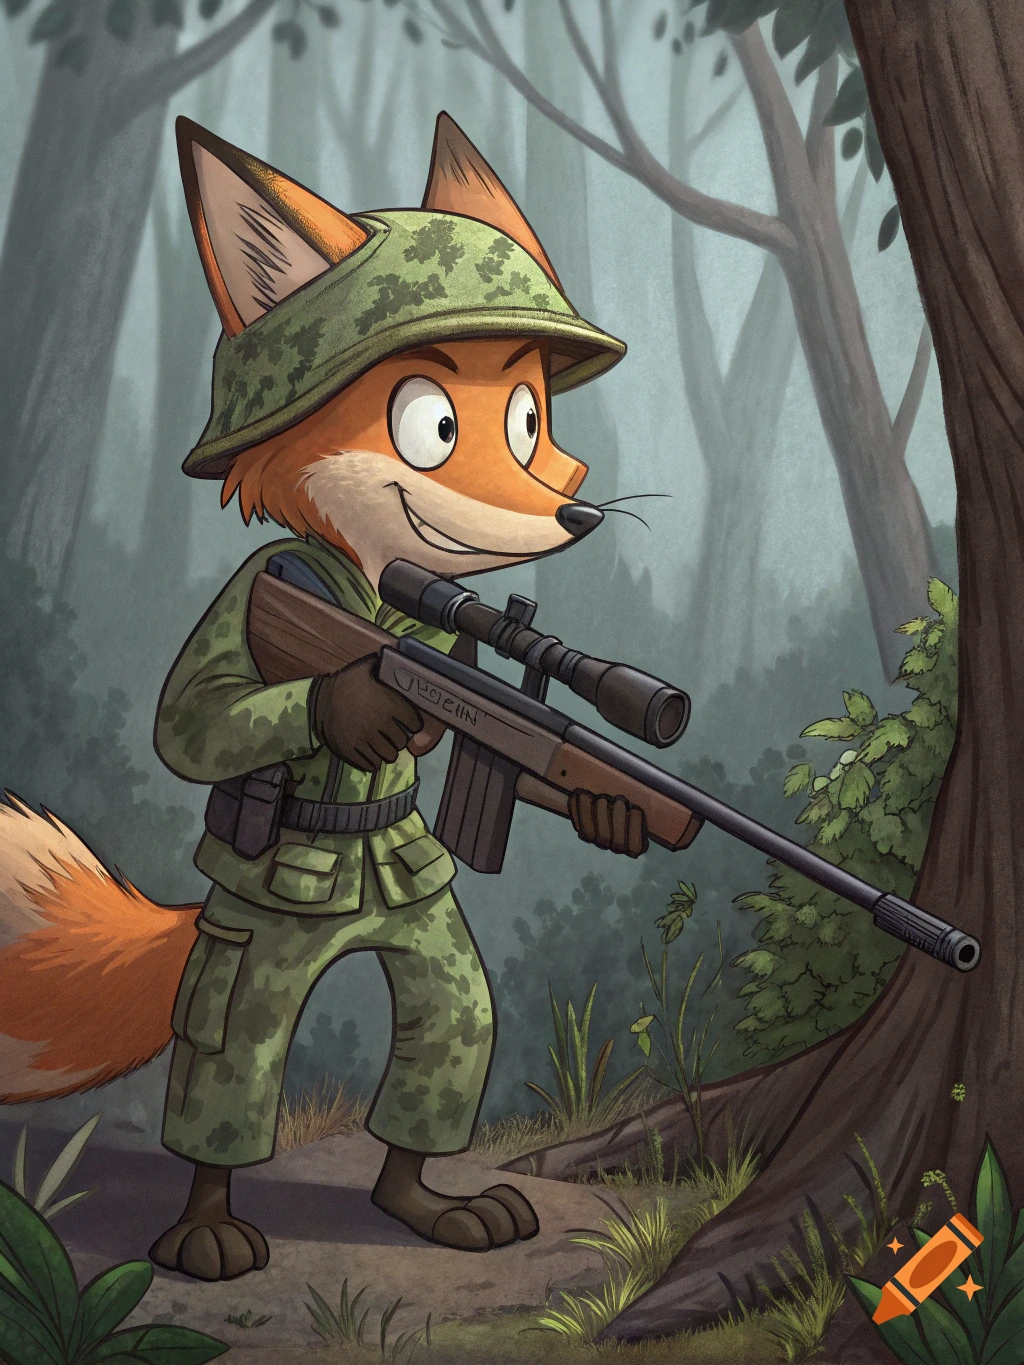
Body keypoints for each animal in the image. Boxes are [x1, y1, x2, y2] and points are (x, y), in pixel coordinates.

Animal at [0, 112, 647, 1279]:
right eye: (433, 424)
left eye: (529, 418)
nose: (574, 516)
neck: (371, 590)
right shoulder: (255, 595)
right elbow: (190, 717)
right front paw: (351, 701)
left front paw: (605, 808)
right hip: (256, 936)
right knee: (230, 1057)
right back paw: (208, 1229)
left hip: (421, 926)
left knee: (454, 1020)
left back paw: (427, 1201)